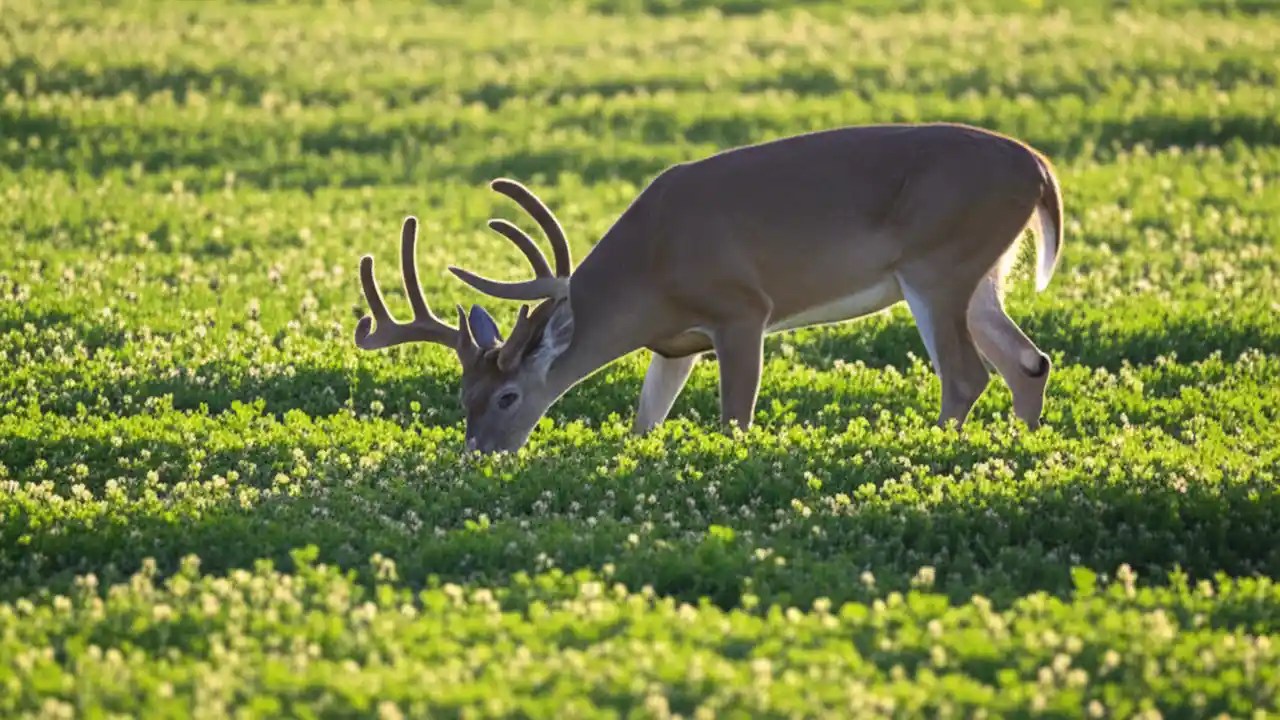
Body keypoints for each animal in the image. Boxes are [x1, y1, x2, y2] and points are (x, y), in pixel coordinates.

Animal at [353, 122, 1064, 453]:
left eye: (506, 396)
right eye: (463, 395)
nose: (476, 455)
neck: (653, 272)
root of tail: (1039, 168)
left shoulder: (742, 309)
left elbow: (735, 418)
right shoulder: (674, 344)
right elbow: (644, 422)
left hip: (938, 264)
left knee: (967, 374)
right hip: (980, 273)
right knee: (1028, 361)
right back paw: (1023, 453)